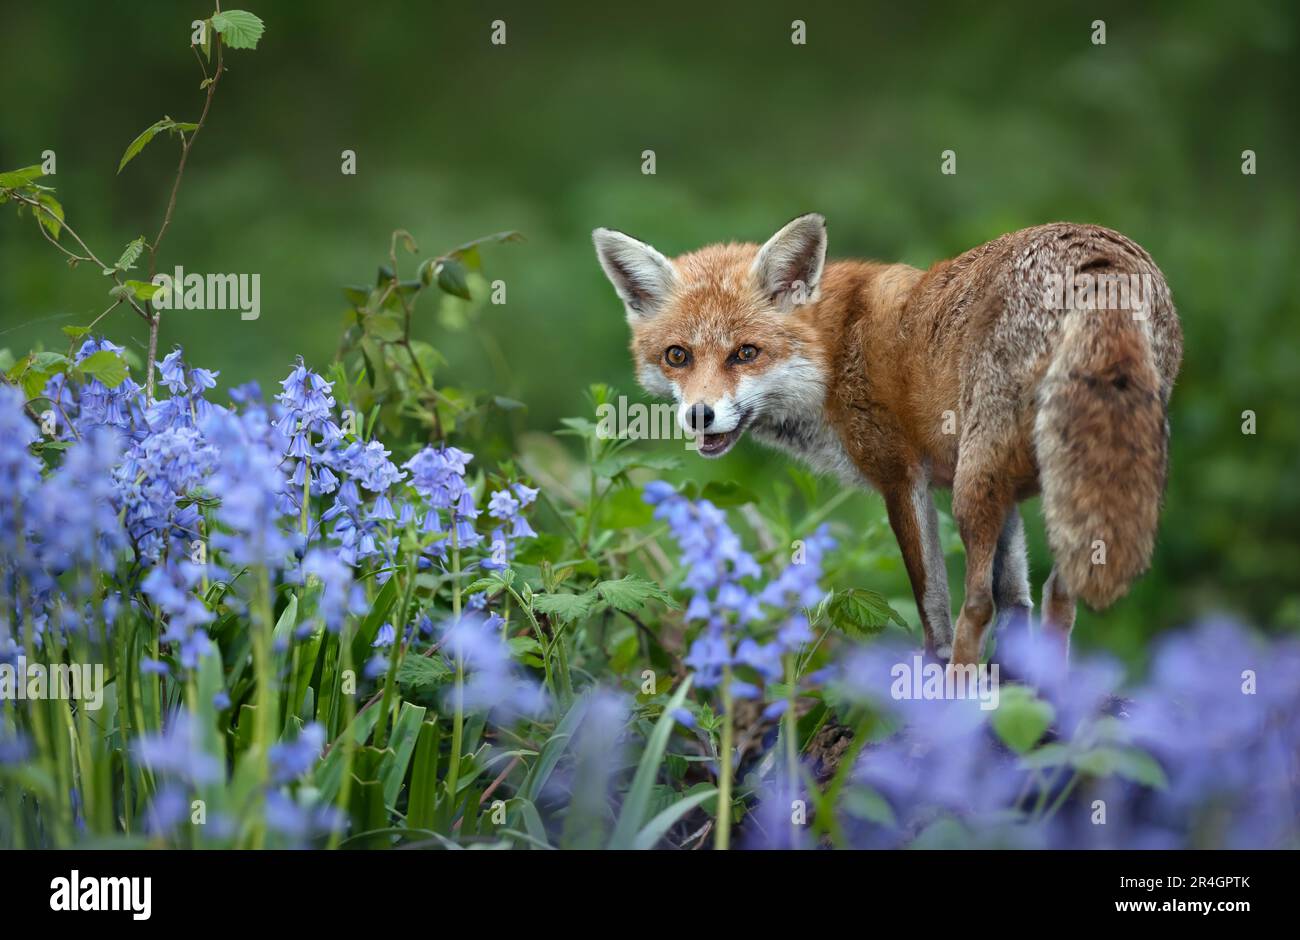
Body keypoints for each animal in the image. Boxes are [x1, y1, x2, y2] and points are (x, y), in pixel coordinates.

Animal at [593, 215, 1182, 667]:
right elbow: (1018, 602)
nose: (700, 415)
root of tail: (1097, 254)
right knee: (1059, 594)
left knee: (976, 605)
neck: (834, 354)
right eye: (677, 356)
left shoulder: (900, 476)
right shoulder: (1010, 492)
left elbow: (936, 609)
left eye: (745, 353)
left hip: (973, 487)